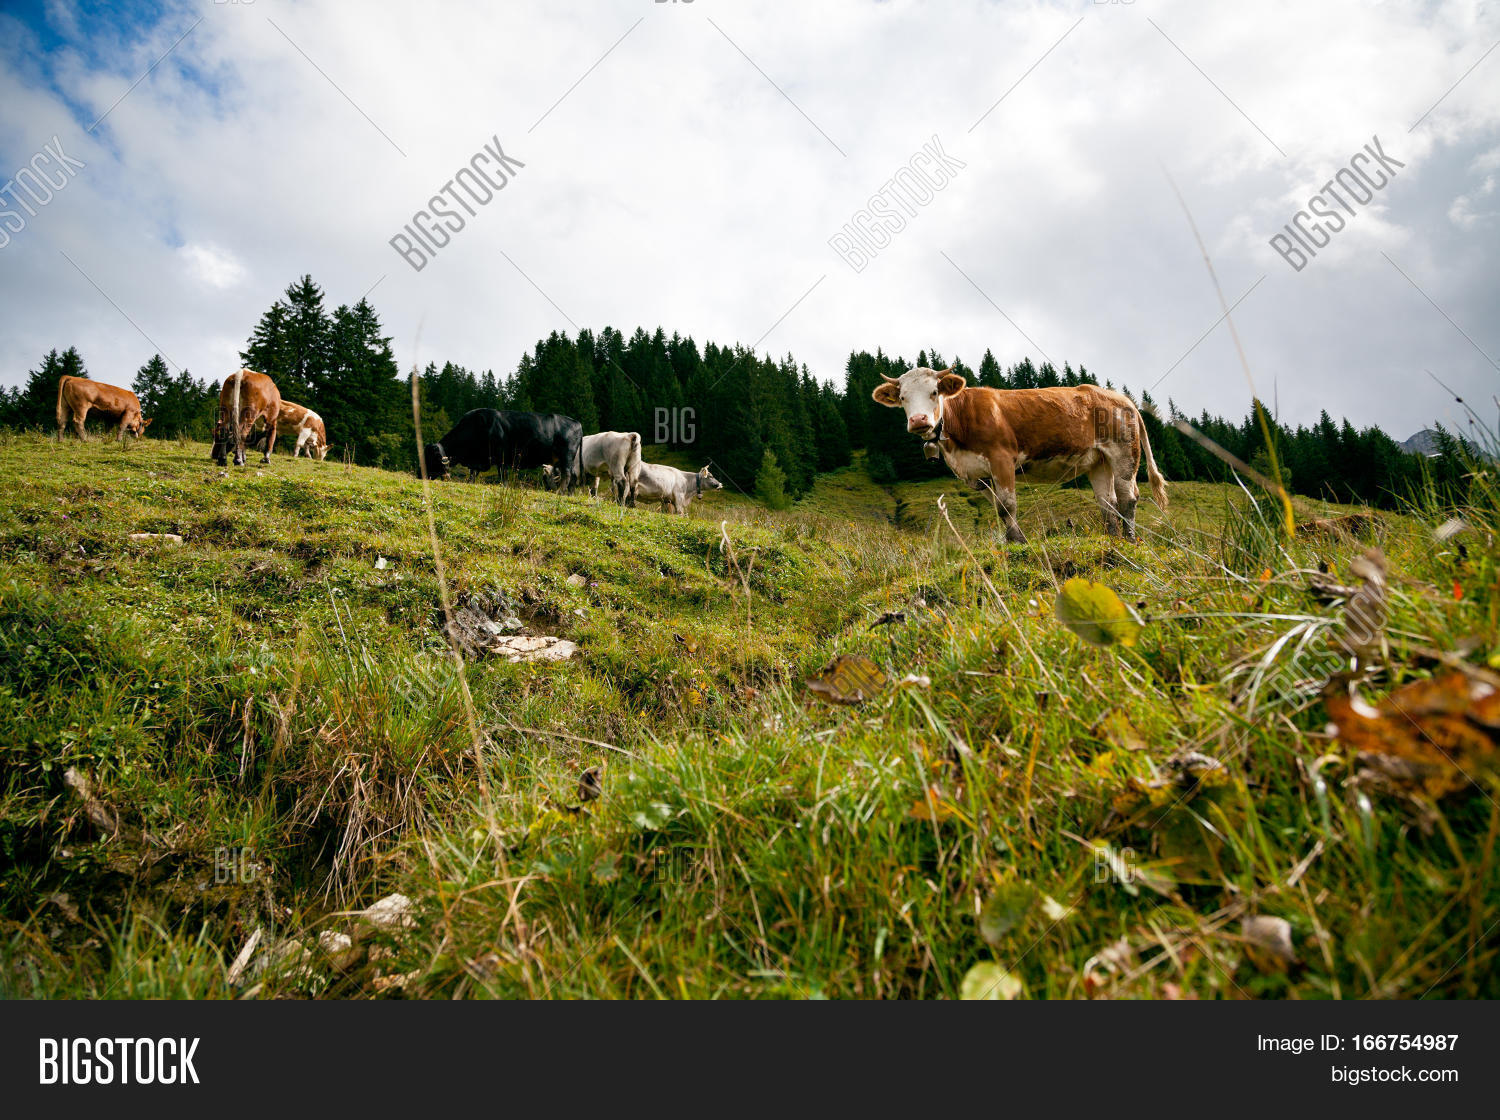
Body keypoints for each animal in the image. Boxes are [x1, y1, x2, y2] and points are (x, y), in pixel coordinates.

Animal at [422, 408, 584, 491]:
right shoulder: (479, 460)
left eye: (430, 458)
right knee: (572, 476)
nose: (420, 474)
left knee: (567, 474)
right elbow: (473, 473)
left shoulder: (501, 455)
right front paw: (470, 483)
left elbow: (502, 474)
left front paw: (504, 486)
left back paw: (559, 491)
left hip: (566, 455)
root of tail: (576, 422)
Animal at [872, 366, 1167, 541]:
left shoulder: (1002, 459)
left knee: (1128, 496)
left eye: (934, 392)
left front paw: (1019, 542)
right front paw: (1011, 540)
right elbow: (997, 508)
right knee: (1108, 501)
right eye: (903, 397)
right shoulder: (978, 475)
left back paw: (1129, 538)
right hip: (1099, 460)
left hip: (1124, 452)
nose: (919, 420)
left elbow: (1006, 506)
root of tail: (1122, 399)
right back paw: (1113, 538)